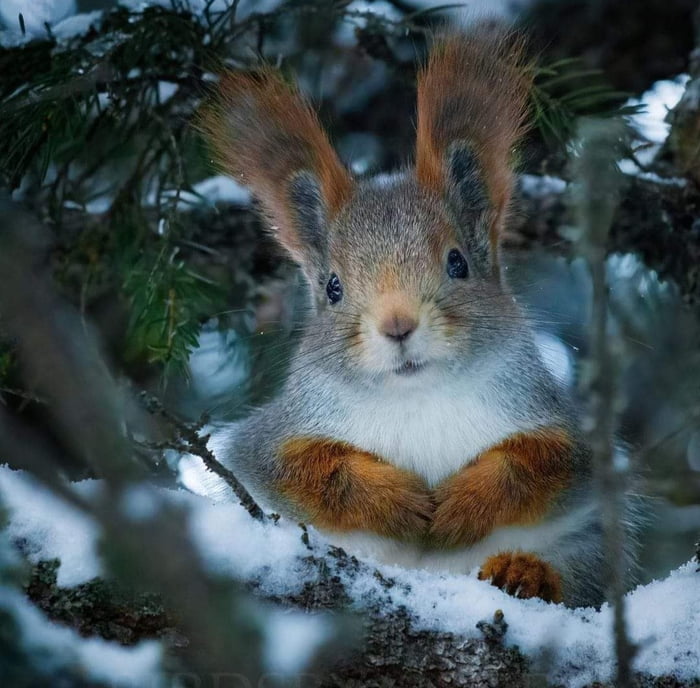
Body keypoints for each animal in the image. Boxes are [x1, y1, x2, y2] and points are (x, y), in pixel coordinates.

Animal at [198, 26, 636, 607]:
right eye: (333, 288)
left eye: (458, 262)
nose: (398, 326)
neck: (417, 397)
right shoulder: (269, 440)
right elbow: (304, 473)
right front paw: (396, 501)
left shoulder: (568, 431)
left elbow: (542, 463)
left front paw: (462, 503)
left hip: (587, 547)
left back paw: (526, 573)